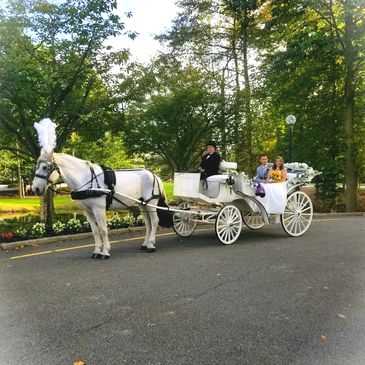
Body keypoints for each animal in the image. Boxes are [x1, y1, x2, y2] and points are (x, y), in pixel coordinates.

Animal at [32, 151, 167, 258]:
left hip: (151, 203)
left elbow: (103, 230)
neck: (86, 180)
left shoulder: (98, 209)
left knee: (155, 221)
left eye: (45, 167)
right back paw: (145, 243)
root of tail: (154, 175)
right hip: (142, 204)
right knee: (148, 223)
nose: (35, 189)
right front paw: (97, 251)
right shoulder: (87, 211)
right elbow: (95, 231)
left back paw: (151, 245)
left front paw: (105, 252)